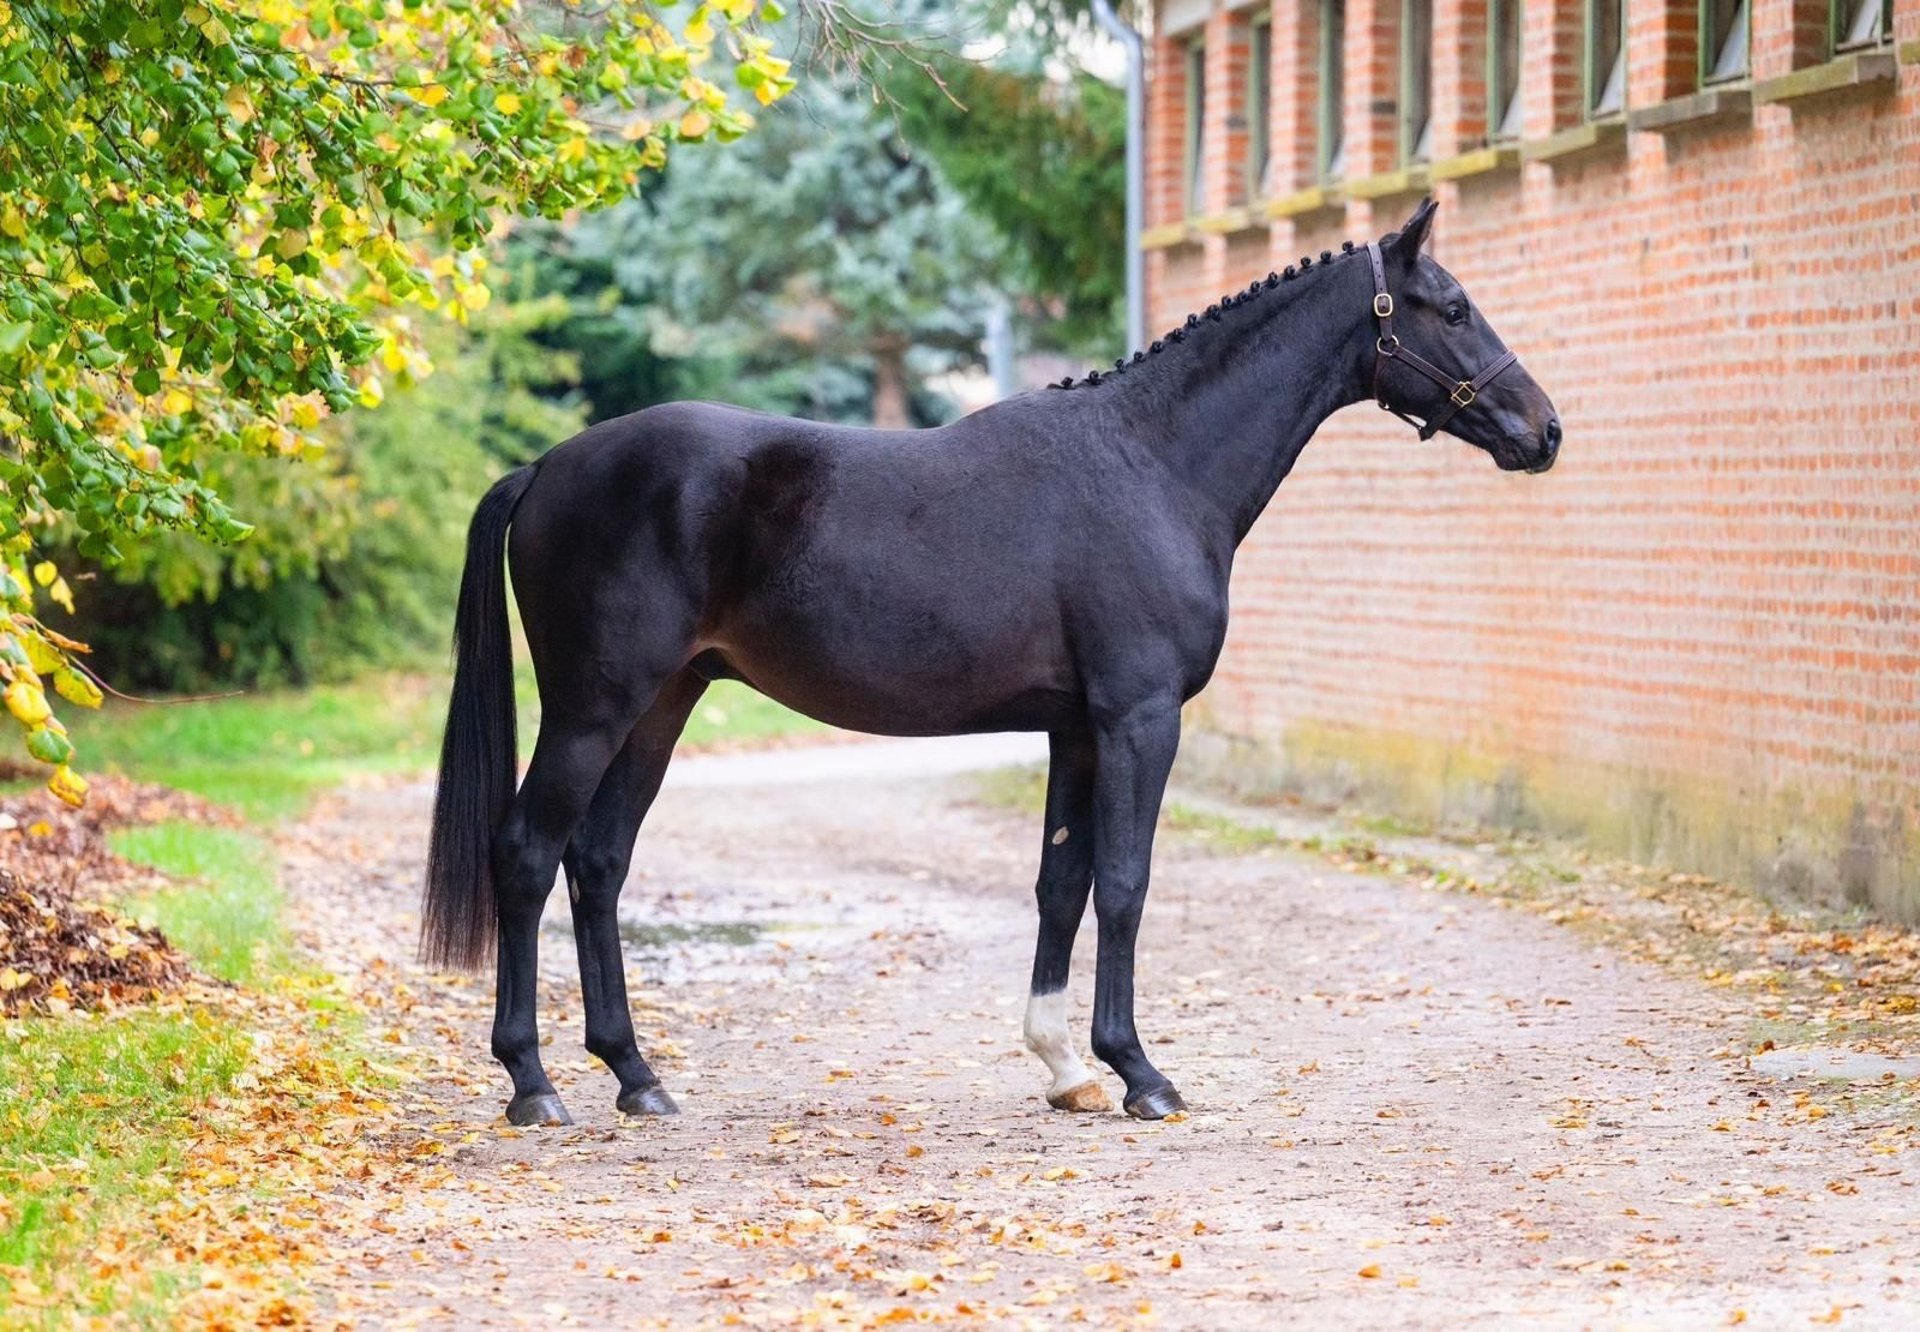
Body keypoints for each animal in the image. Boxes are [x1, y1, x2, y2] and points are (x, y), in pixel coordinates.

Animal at [421, 199, 1560, 1127]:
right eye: (1451, 305)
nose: (1543, 430)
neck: (1154, 463)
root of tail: (546, 467)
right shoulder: (1139, 718)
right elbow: (1126, 883)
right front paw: (1141, 1073)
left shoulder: (1076, 727)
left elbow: (1062, 882)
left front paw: (1065, 1068)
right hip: (593, 708)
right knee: (527, 855)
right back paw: (534, 1085)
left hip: (662, 704)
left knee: (598, 864)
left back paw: (636, 1076)